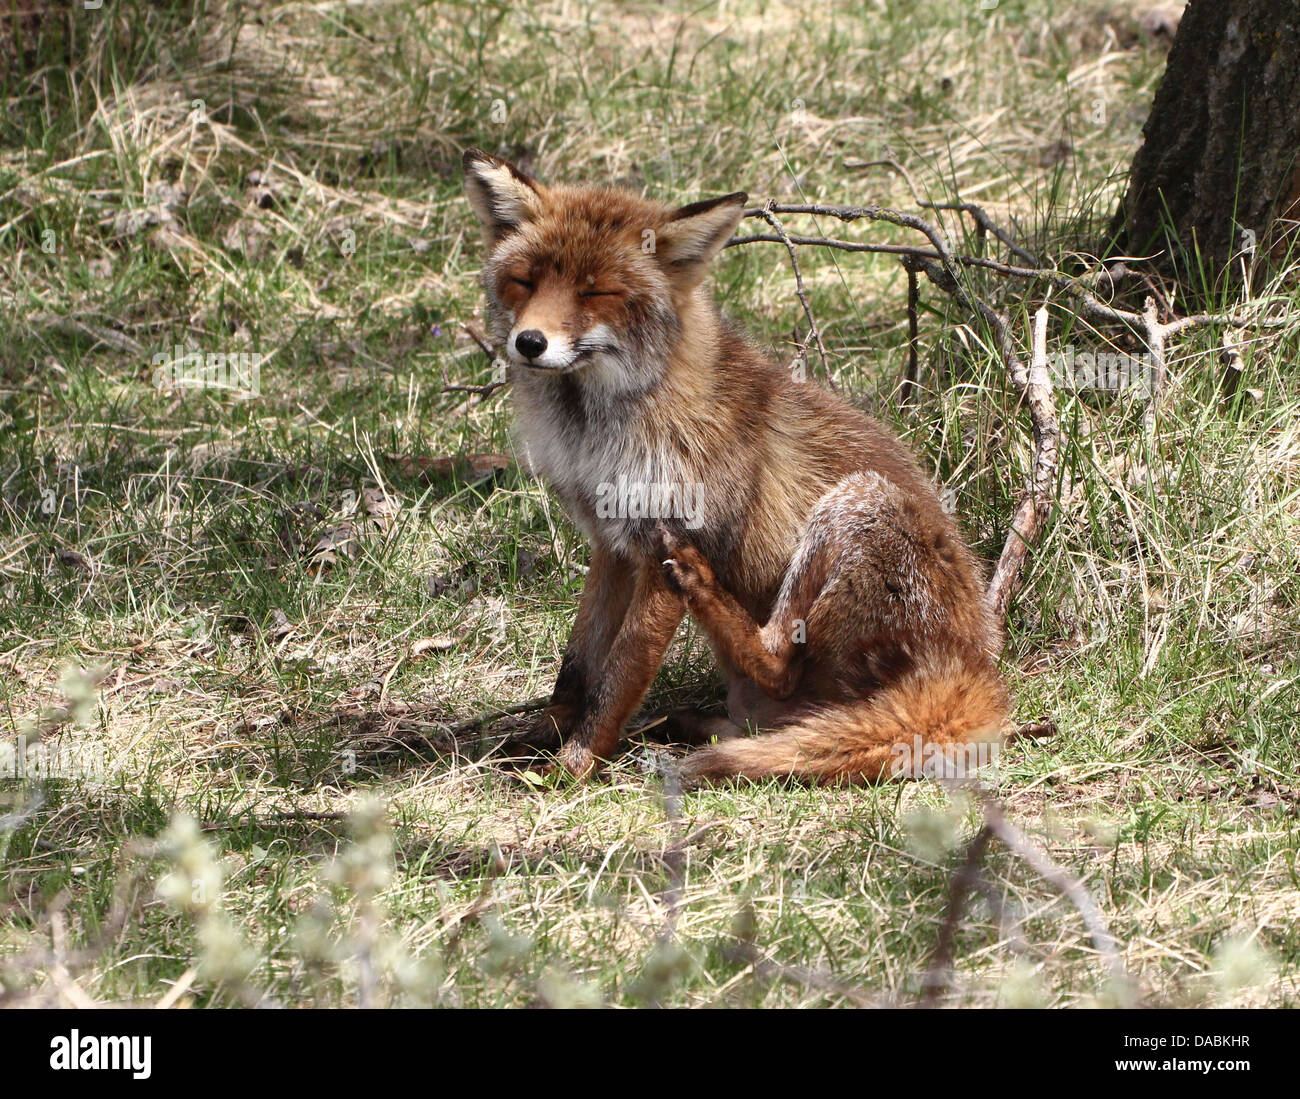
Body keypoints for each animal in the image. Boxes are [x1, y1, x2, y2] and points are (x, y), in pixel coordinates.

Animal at [462, 147, 1008, 785]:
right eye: (525, 280)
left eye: (597, 293)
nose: (529, 342)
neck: (598, 429)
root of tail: (975, 666)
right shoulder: (611, 543)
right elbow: (576, 668)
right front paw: (537, 738)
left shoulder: (660, 540)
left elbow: (617, 676)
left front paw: (571, 768)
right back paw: (685, 726)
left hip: (856, 503)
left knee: (780, 662)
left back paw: (700, 596)